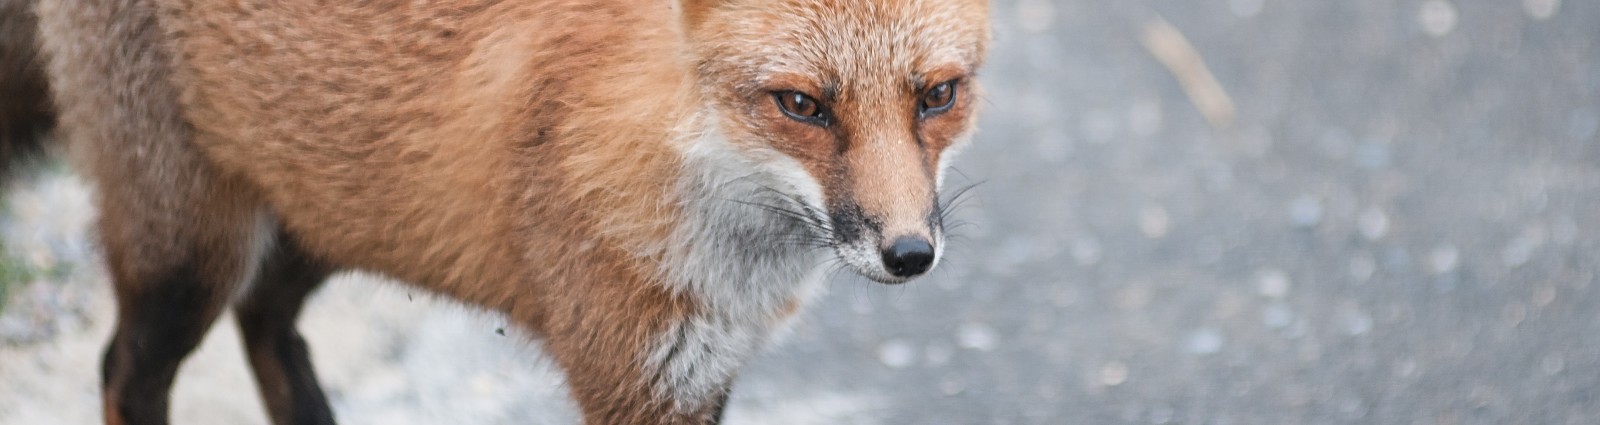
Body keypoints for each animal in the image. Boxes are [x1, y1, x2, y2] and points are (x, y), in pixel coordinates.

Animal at [2, 0, 990, 424]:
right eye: (802, 106)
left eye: (937, 95)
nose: (909, 253)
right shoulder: (632, 374)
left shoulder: (700, 370)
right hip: (191, 256)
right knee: (126, 369)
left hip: (335, 221)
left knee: (266, 328)